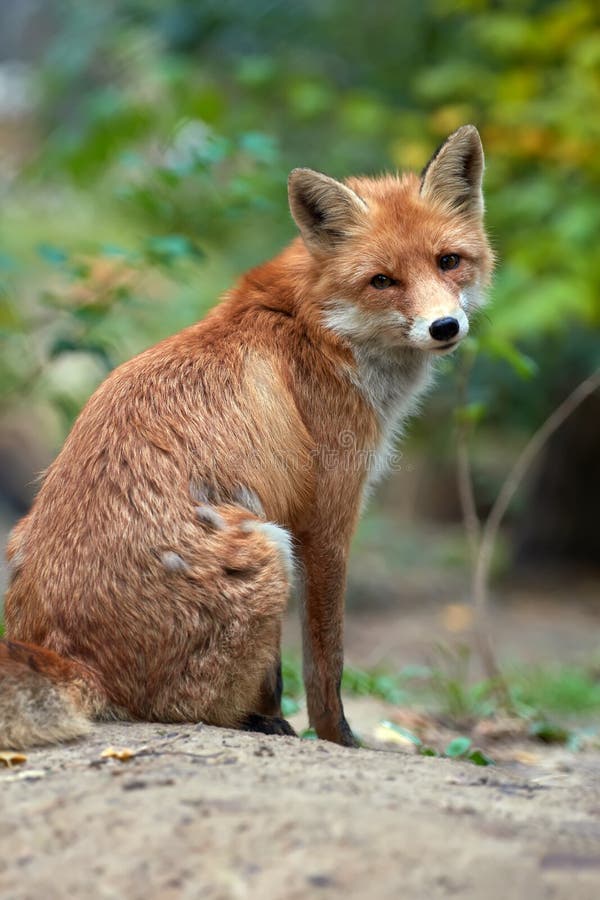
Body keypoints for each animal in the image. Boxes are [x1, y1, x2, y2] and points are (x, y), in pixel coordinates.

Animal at [1, 125, 493, 749]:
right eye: (383, 281)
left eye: (448, 262)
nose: (444, 327)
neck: (316, 327)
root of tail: (70, 656)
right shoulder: (325, 519)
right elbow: (324, 662)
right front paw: (335, 739)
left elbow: (281, 669)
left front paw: (280, 717)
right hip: (269, 549)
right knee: (189, 709)